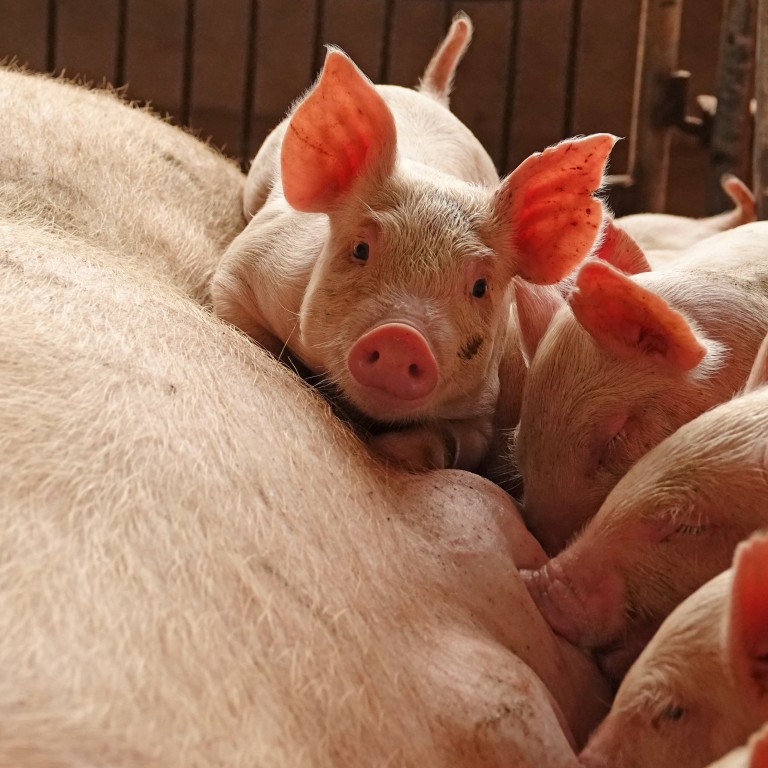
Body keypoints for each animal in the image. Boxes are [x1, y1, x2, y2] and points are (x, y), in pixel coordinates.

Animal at [211, 13, 615, 471]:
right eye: (361, 249)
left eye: (481, 287)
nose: (401, 337)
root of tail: (431, 95)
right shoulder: (247, 267)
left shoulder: (481, 406)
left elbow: (461, 442)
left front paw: (397, 451)